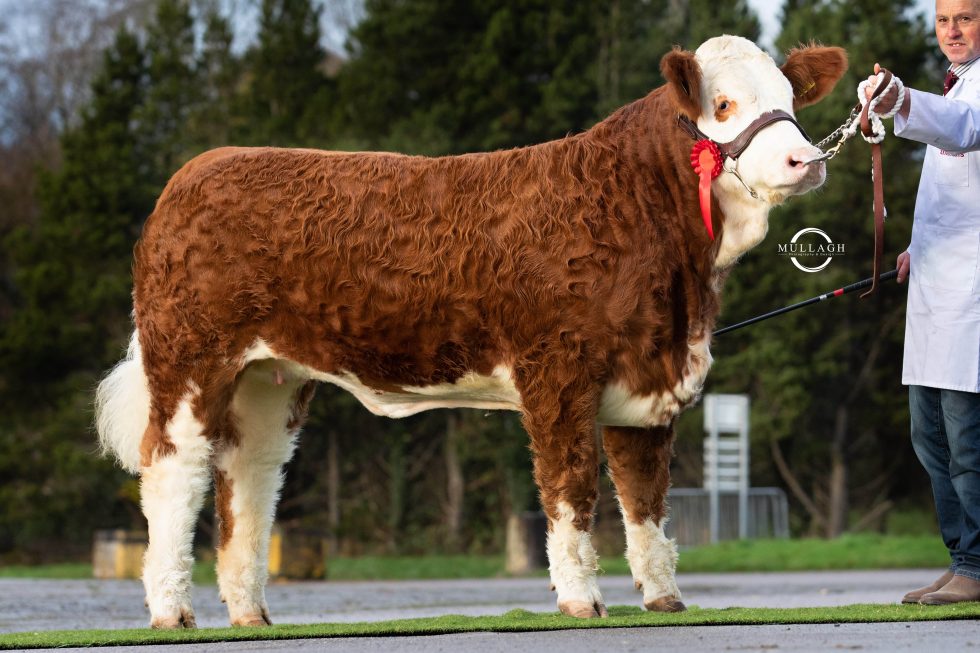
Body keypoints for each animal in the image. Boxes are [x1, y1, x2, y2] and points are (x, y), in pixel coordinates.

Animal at [95, 35, 847, 628]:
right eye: (723, 106)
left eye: (790, 98)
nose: (805, 161)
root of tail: (196, 172)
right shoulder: (556, 372)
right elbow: (571, 491)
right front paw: (581, 600)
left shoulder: (649, 380)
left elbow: (645, 498)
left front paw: (665, 598)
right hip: (191, 359)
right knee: (174, 472)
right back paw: (172, 610)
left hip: (268, 380)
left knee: (248, 479)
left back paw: (250, 611)